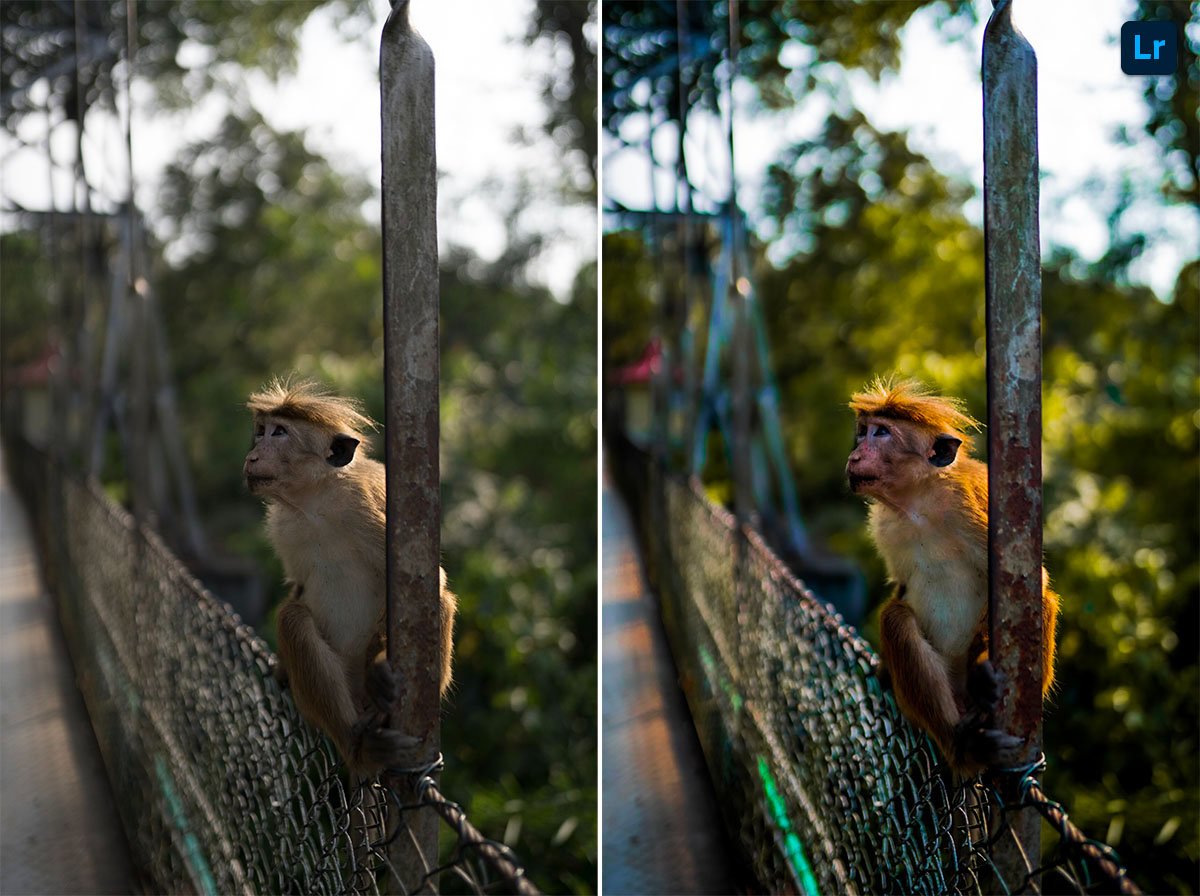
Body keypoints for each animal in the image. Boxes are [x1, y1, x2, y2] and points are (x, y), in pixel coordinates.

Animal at [244, 377, 455, 777]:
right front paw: (281, 667)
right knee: (294, 617)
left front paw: (385, 670)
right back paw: (354, 744)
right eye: (261, 431)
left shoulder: (363, 508)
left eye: (280, 432)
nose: (251, 456)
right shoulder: (282, 525)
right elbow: (299, 586)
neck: (315, 504)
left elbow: (432, 588)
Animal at [846, 377, 1058, 776]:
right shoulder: (885, 525)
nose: (854, 456)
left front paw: (986, 673)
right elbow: (902, 587)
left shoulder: (967, 506)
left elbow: (1032, 585)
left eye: (882, 433)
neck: (917, 504)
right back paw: (961, 744)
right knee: (897, 618)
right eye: (862, 432)